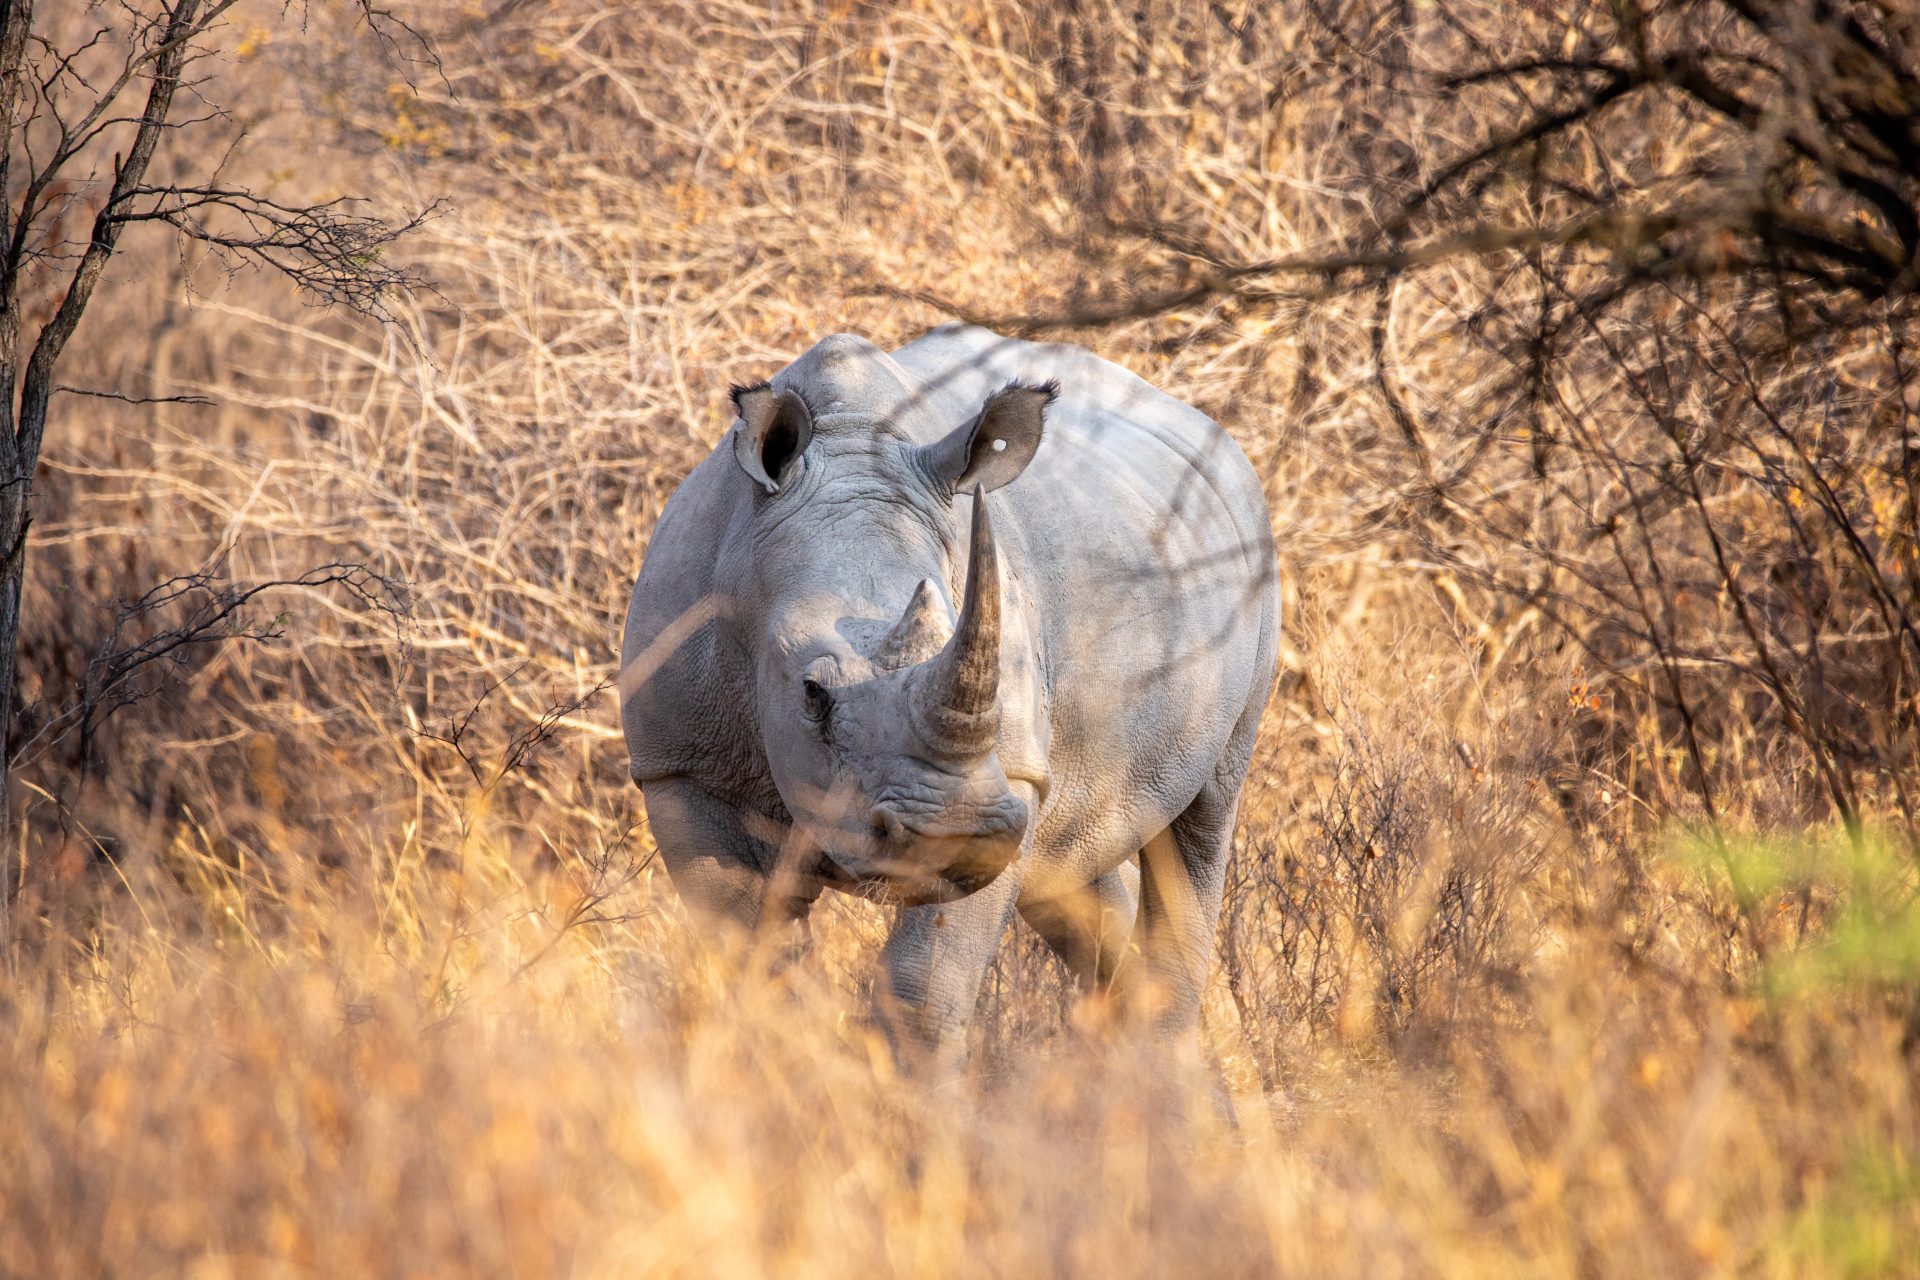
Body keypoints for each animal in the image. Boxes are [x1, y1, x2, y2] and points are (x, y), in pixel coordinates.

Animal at [619, 325, 1278, 1072]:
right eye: (812, 695)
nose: (948, 831)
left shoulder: (1008, 777)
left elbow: (924, 993)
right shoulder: (683, 768)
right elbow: (758, 966)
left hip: (1250, 561)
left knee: (1201, 824)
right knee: (1077, 876)